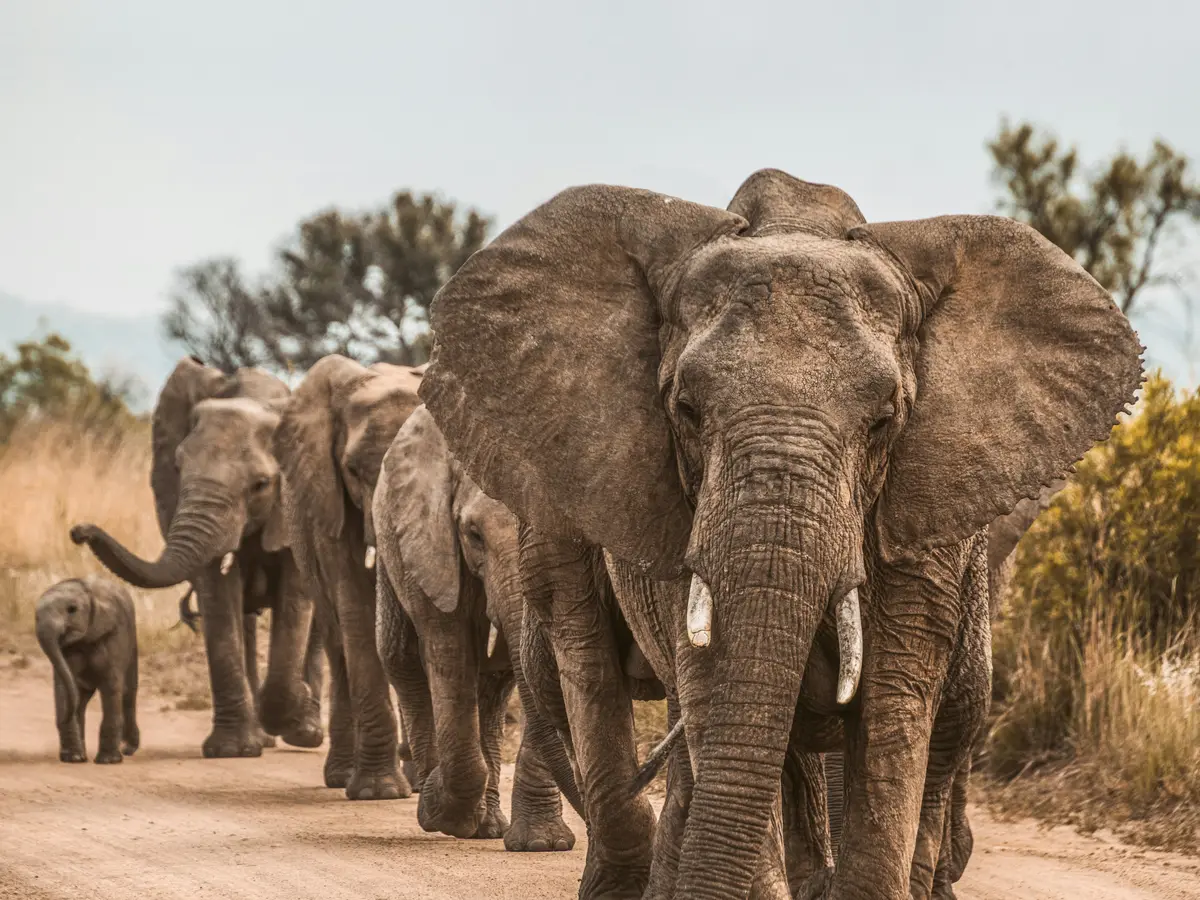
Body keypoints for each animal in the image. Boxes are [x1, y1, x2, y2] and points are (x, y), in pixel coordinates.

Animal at [36, 575, 139, 764]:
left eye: (72, 609)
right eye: (35, 617)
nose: (63, 717)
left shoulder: (115, 634)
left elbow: (111, 685)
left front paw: (108, 761)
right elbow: (64, 685)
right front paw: (73, 758)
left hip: (132, 643)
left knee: (128, 693)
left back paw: (127, 749)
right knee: (81, 699)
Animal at [71, 357, 323, 759]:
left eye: (261, 485)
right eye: (177, 469)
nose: (79, 531)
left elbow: (296, 598)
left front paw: (291, 706)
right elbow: (218, 595)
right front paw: (232, 750)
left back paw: (305, 732)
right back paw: (264, 735)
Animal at [269, 354, 426, 799]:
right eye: (353, 470)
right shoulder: (329, 501)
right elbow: (356, 606)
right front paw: (379, 792)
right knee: (338, 640)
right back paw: (343, 776)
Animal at [373, 404, 580, 848]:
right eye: (473, 534)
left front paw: (542, 845)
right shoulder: (432, 542)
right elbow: (448, 651)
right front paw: (438, 810)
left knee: (495, 687)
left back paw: (487, 827)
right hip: (390, 544)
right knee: (402, 660)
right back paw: (437, 802)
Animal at [416, 169, 1143, 899]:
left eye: (885, 421)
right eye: (685, 411)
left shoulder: (929, 504)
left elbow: (894, 702)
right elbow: (716, 683)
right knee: (597, 663)